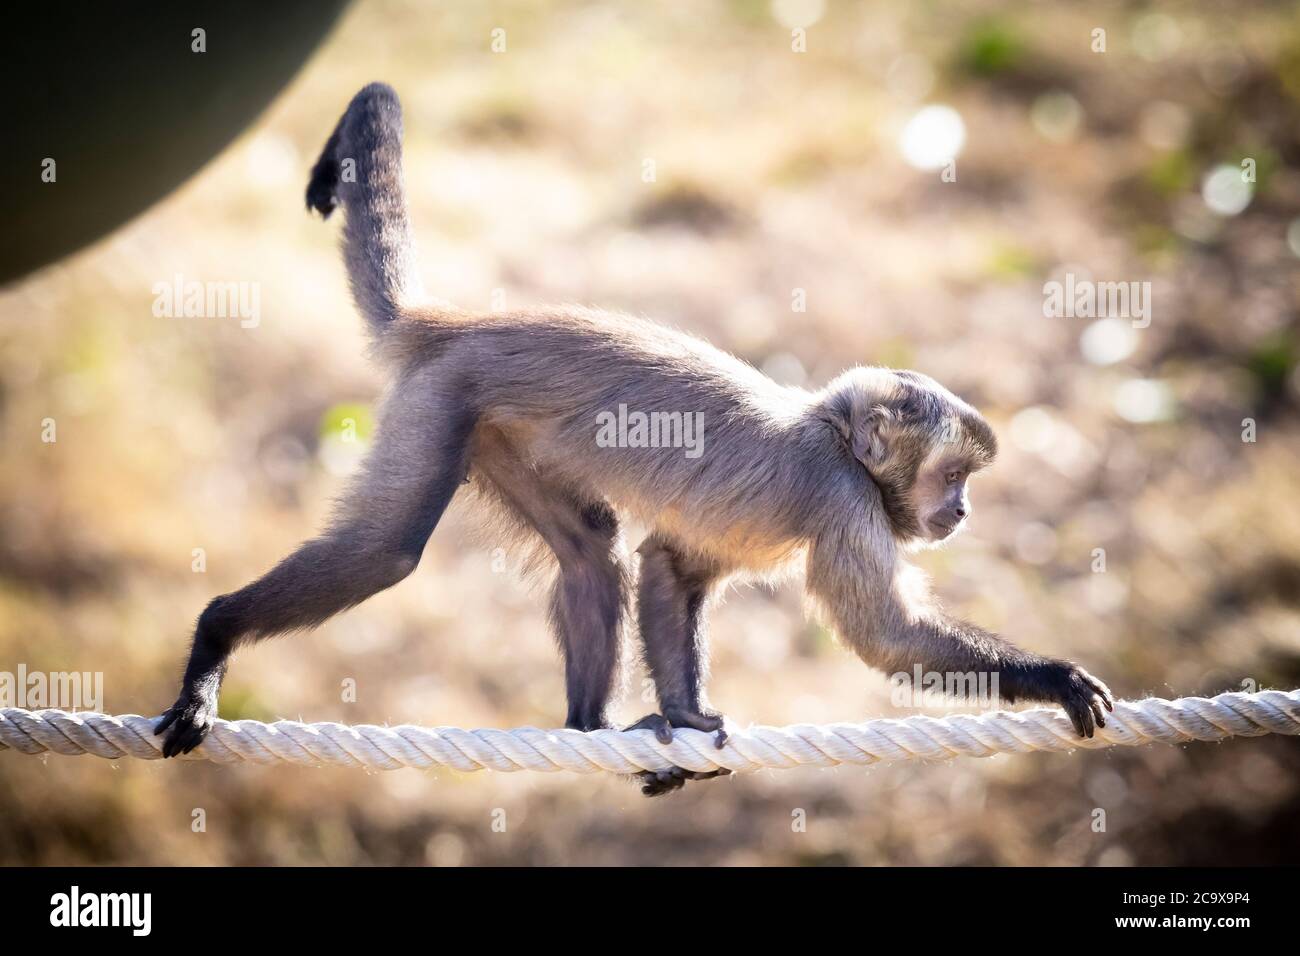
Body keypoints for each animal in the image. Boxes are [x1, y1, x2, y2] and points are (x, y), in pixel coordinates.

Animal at [156, 83, 1114, 795]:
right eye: (952, 475)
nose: (961, 512)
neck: (833, 433)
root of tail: (458, 324)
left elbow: (665, 568)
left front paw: (684, 721)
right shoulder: (844, 501)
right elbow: (886, 637)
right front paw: (1054, 676)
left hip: (495, 427)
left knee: (595, 549)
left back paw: (590, 729)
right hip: (443, 401)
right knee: (385, 551)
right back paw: (216, 634)